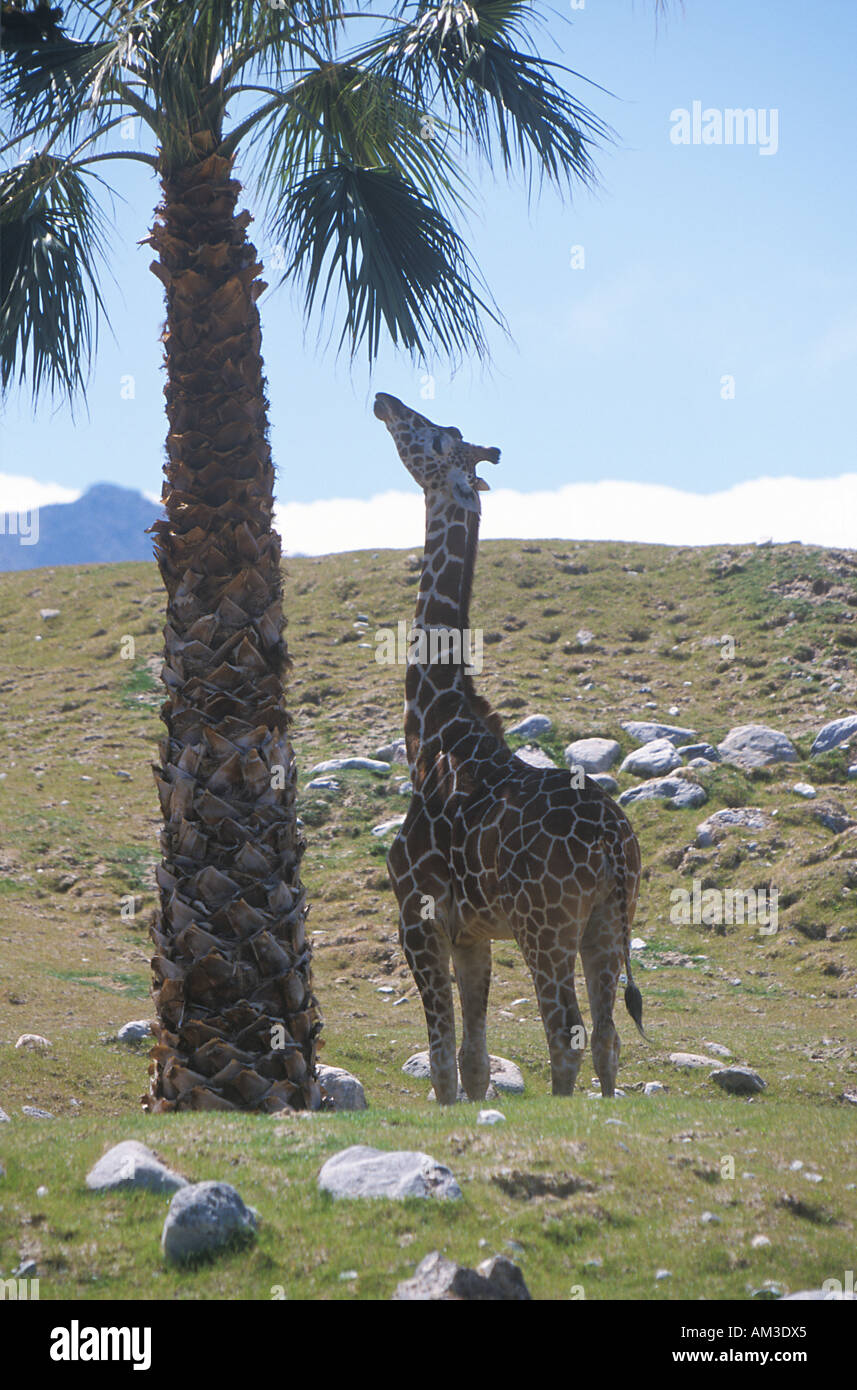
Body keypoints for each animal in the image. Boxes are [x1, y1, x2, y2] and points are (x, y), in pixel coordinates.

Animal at [374, 391, 645, 1105]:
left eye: (437, 437)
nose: (384, 400)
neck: (432, 728)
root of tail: (616, 843)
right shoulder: (473, 933)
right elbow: (474, 1058)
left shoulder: (419, 915)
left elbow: (442, 1057)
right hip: (609, 921)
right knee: (607, 1035)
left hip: (545, 925)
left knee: (566, 1031)